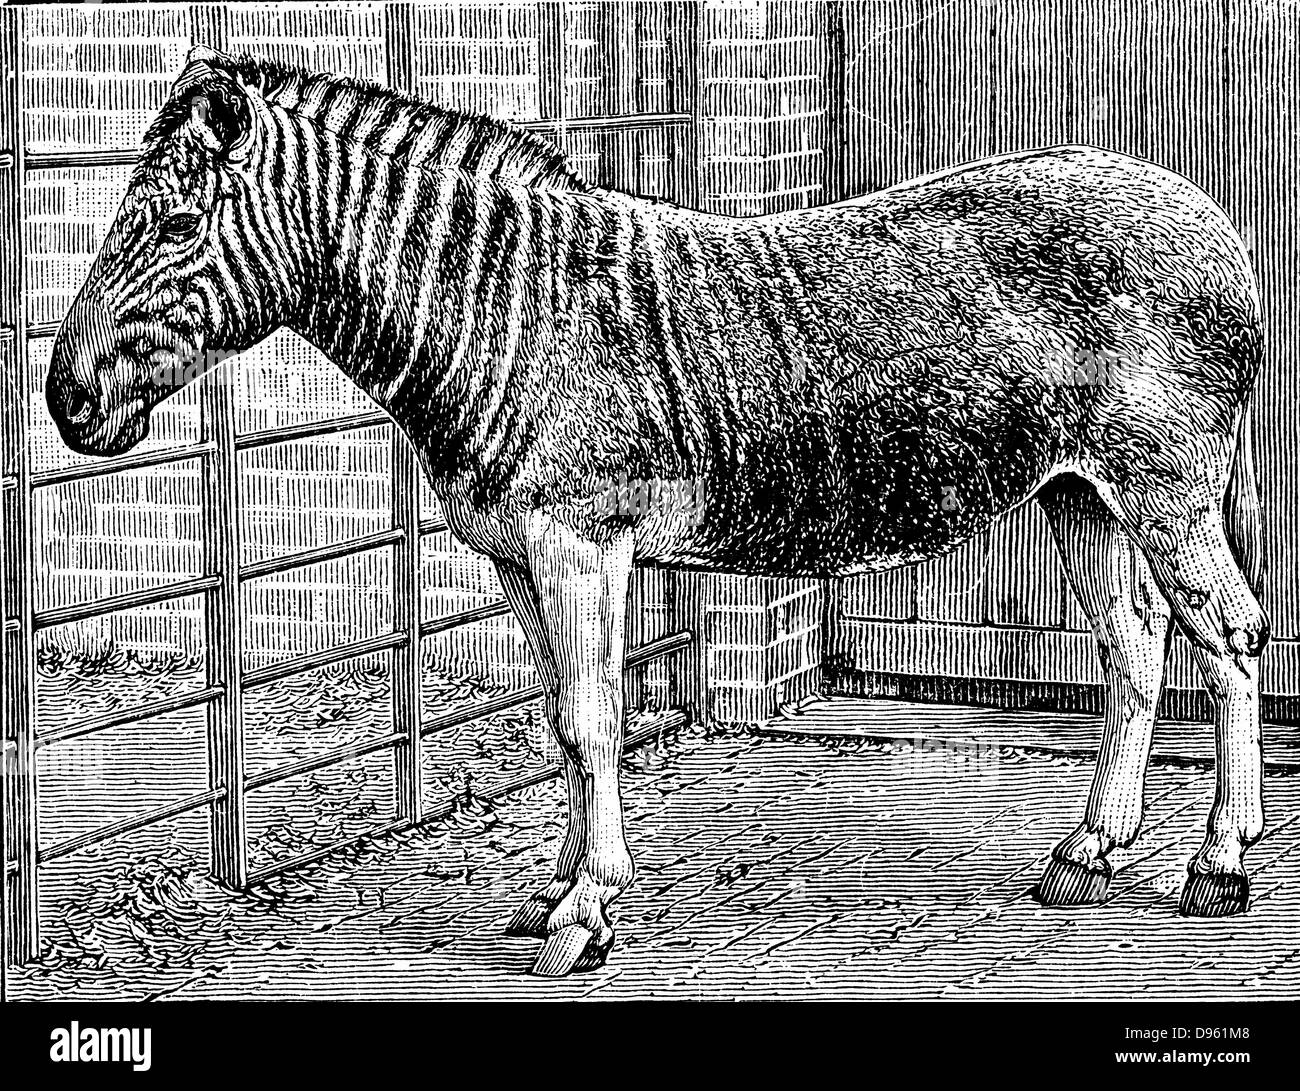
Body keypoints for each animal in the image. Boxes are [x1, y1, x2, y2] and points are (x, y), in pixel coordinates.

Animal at [46, 48, 1269, 977]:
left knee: (1229, 640)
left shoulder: (580, 541)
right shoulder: (514, 555)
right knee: (1135, 650)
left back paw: (1215, 866)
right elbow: (557, 720)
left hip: (1163, 486)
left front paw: (587, 913)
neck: (504, 309)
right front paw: (549, 894)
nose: (64, 400)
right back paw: (1085, 854)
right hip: (1078, 494)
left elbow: (593, 722)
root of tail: (1211, 214)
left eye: (172, 225)